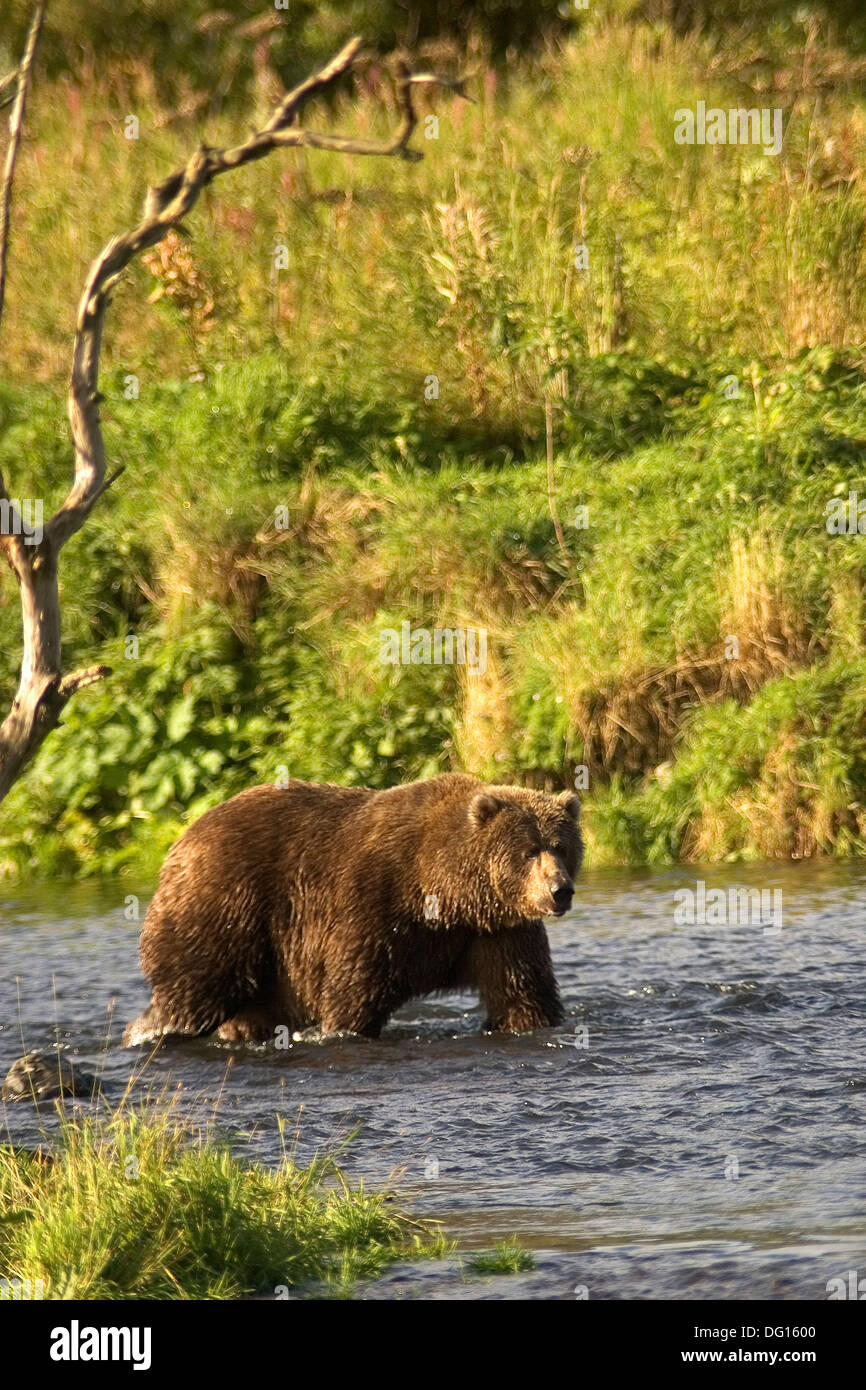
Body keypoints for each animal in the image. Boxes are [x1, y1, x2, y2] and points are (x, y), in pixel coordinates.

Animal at [122, 772, 582, 1047]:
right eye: (529, 851)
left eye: (561, 846)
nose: (560, 891)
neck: (445, 893)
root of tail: (180, 840)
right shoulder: (374, 905)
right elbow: (353, 987)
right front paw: (338, 1029)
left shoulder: (497, 931)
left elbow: (522, 993)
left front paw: (531, 1022)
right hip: (225, 906)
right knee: (194, 987)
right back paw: (148, 1030)